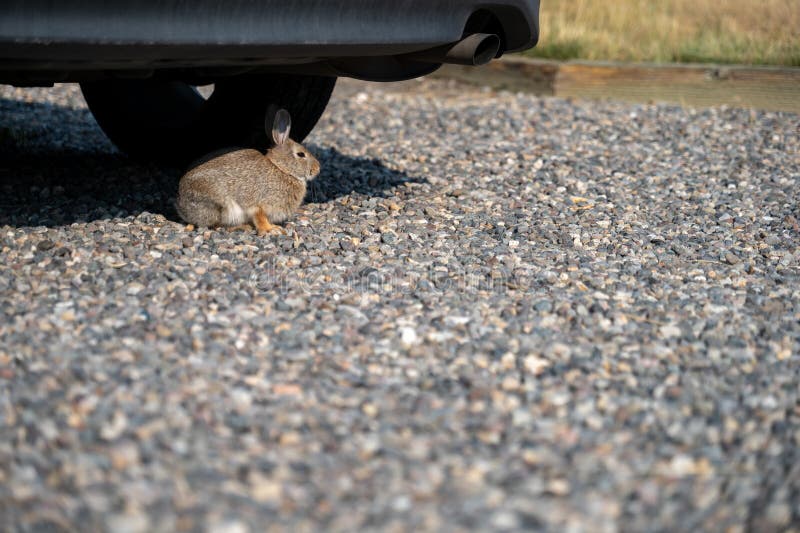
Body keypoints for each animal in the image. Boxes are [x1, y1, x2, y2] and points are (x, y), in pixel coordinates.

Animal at [176, 107, 320, 235]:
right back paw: (241, 227)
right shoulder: (258, 204)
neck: (281, 168)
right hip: (219, 206)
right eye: (301, 154)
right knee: (216, 225)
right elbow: (259, 217)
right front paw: (271, 229)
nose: (317, 168)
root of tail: (181, 205)